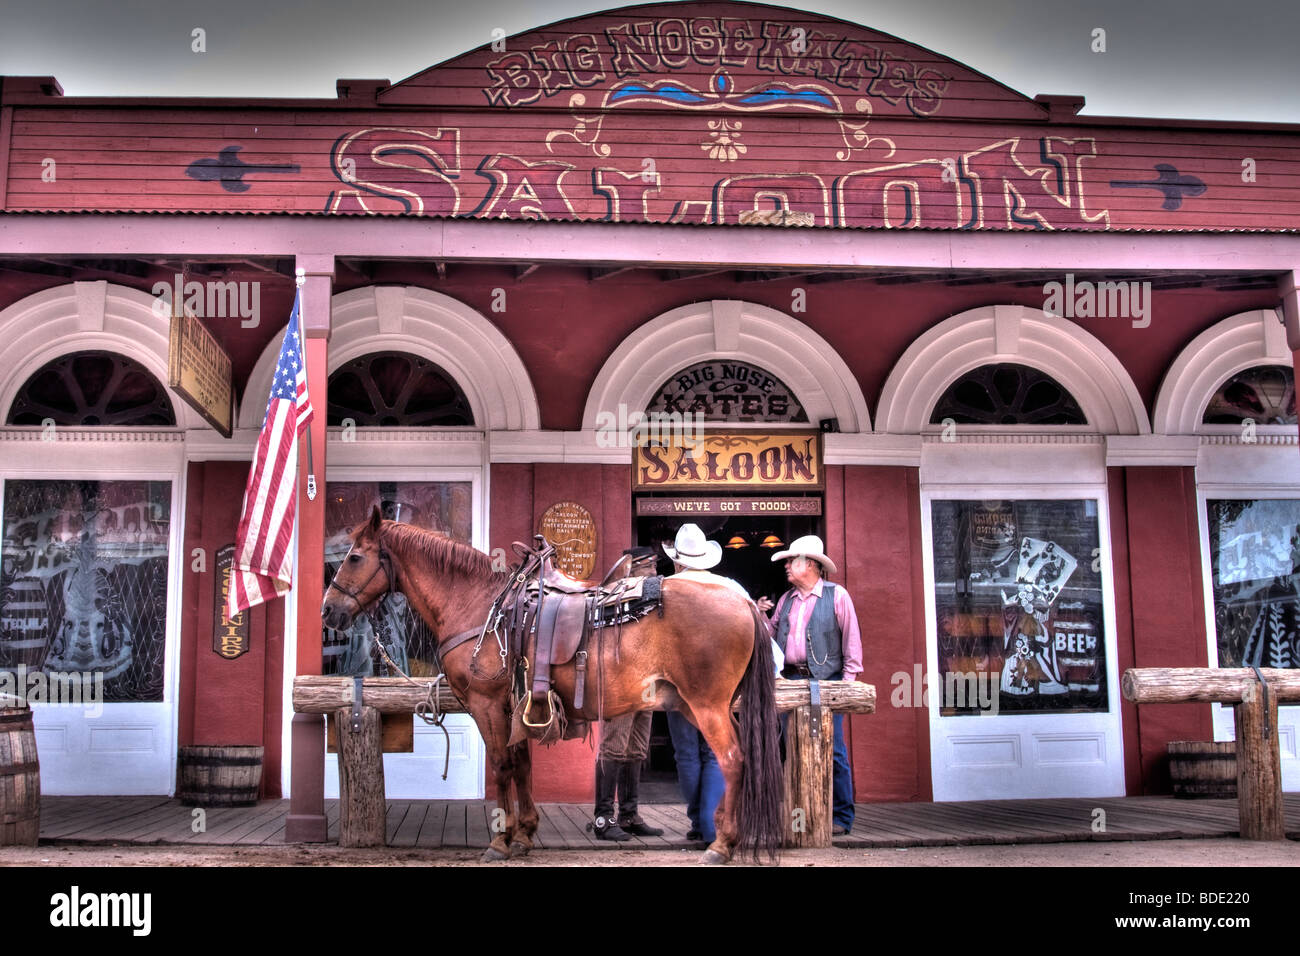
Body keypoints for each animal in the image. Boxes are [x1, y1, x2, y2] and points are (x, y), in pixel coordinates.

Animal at [321, 509, 780, 868]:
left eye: (355, 557)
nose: (328, 610)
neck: (480, 606)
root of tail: (744, 602)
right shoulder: (517, 704)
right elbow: (522, 764)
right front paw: (524, 834)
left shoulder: (487, 705)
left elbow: (501, 765)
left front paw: (500, 840)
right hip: (693, 704)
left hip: (707, 706)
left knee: (733, 760)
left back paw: (721, 845)